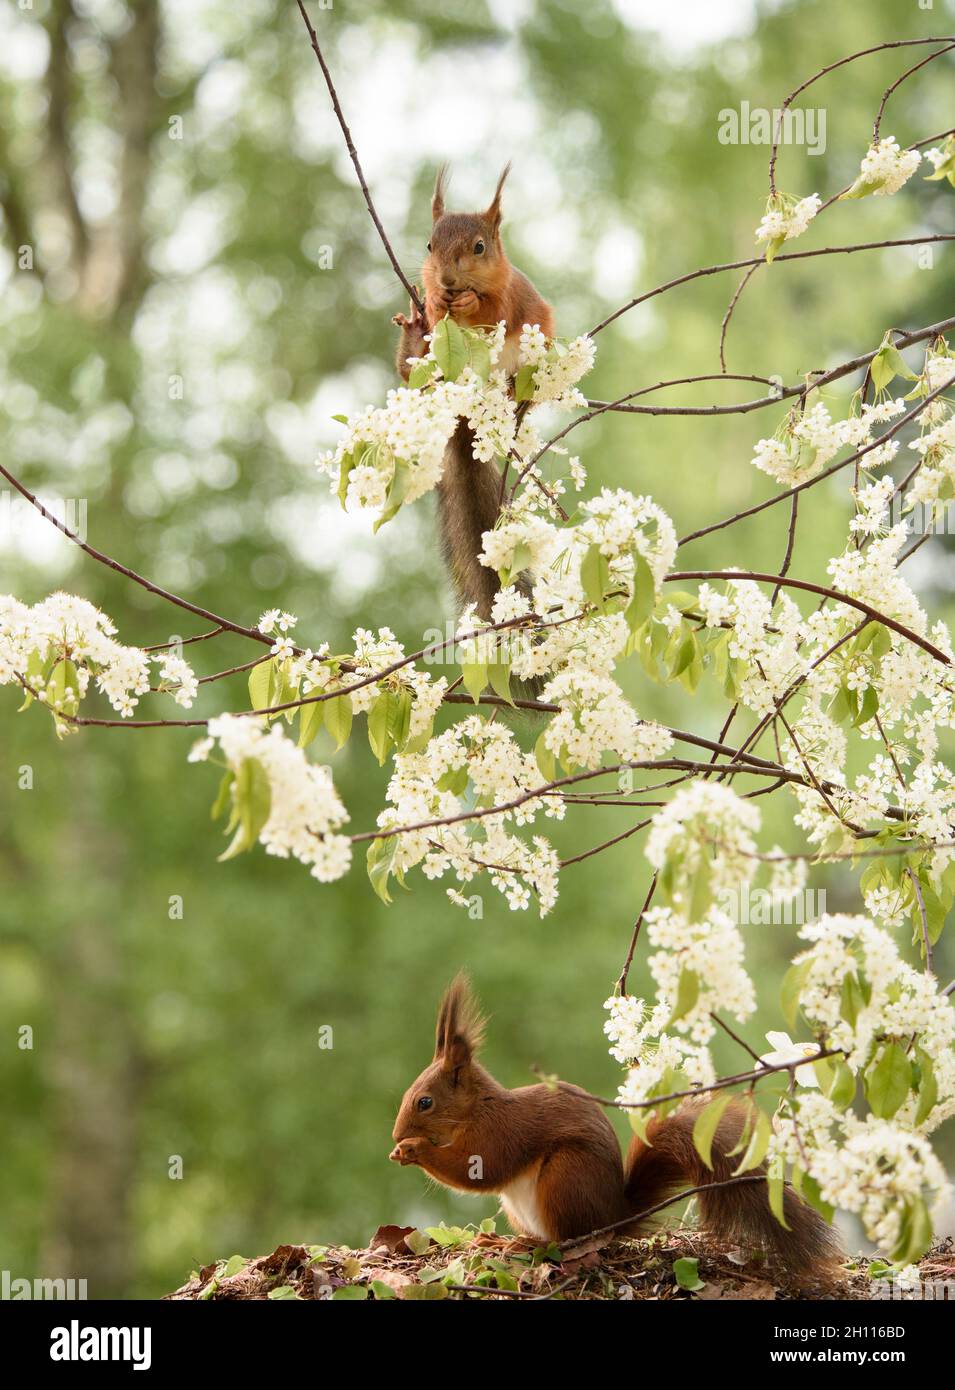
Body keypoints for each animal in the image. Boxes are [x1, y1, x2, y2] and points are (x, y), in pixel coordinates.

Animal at [390, 975, 840, 1273]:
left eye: (424, 1102)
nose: (396, 1134)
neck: (476, 1109)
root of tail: (613, 1215)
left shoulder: (500, 1134)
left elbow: (478, 1170)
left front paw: (413, 1150)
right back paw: (498, 1237)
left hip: (565, 1178)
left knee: (568, 1239)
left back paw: (523, 1243)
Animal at [393, 165, 554, 622]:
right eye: (429, 245)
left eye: (480, 247)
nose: (447, 280)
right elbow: (434, 311)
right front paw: (433, 301)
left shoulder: (509, 299)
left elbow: (493, 309)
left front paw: (466, 301)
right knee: (409, 369)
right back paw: (413, 335)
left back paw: (517, 397)